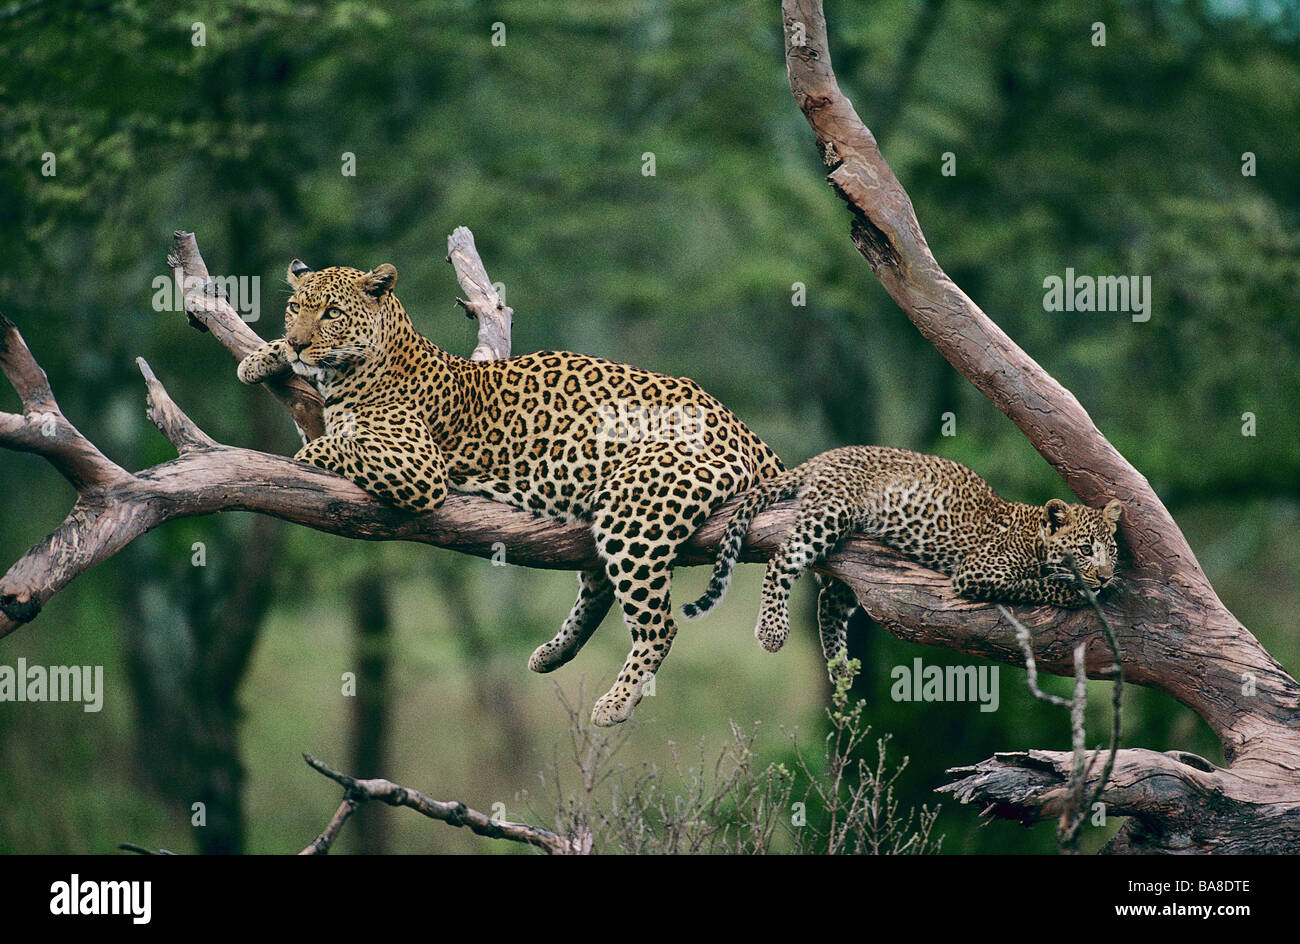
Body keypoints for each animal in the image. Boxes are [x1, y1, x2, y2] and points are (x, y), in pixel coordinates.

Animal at [236, 260, 784, 725]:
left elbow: (329, 446)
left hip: (637, 504)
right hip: (613, 506)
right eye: (295, 307)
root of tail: (746, 431)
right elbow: (320, 423)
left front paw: (302, 438)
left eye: (332, 313)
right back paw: (552, 654)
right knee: (600, 583)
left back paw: (615, 702)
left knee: (658, 624)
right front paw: (264, 356)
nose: (299, 343)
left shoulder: (418, 466)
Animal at [681, 445, 1122, 679]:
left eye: (1112, 550)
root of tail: (824, 456)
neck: (1034, 536)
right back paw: (773, 631)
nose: (1104, 577)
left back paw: (840, 666)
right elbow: (1037, 582)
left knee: (828, 600)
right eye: (1086, 549)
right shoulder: (976, 571)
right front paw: (1076, 590)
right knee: (782, 561)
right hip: (829, 514)